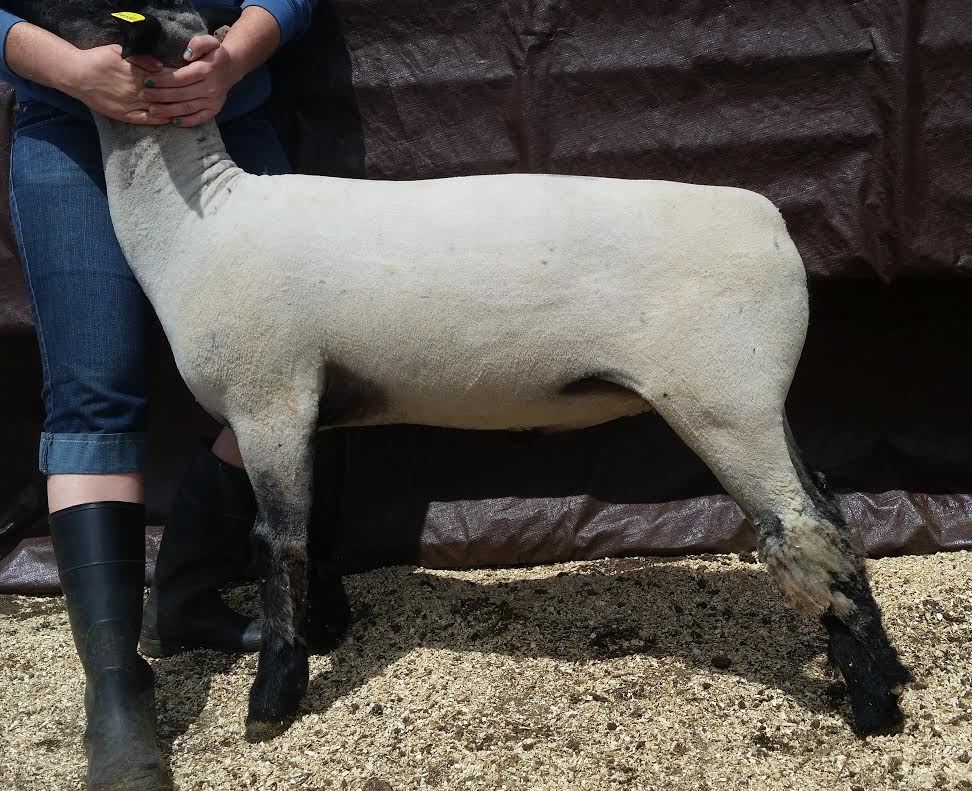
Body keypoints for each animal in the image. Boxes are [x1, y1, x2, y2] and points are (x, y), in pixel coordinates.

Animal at [22, 0, 911, 744]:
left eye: (94, 16)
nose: (23, 39)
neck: (197, 223)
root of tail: (770, 223)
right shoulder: (318, 402)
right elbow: (320, 528)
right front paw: (327, 632)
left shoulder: (266, 396)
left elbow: (277, 543)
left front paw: (273, 697)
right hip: (760, 395)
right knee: (830, 507)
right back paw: (893, 672)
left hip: (722, 396)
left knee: (805, 528)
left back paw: (873, 707)